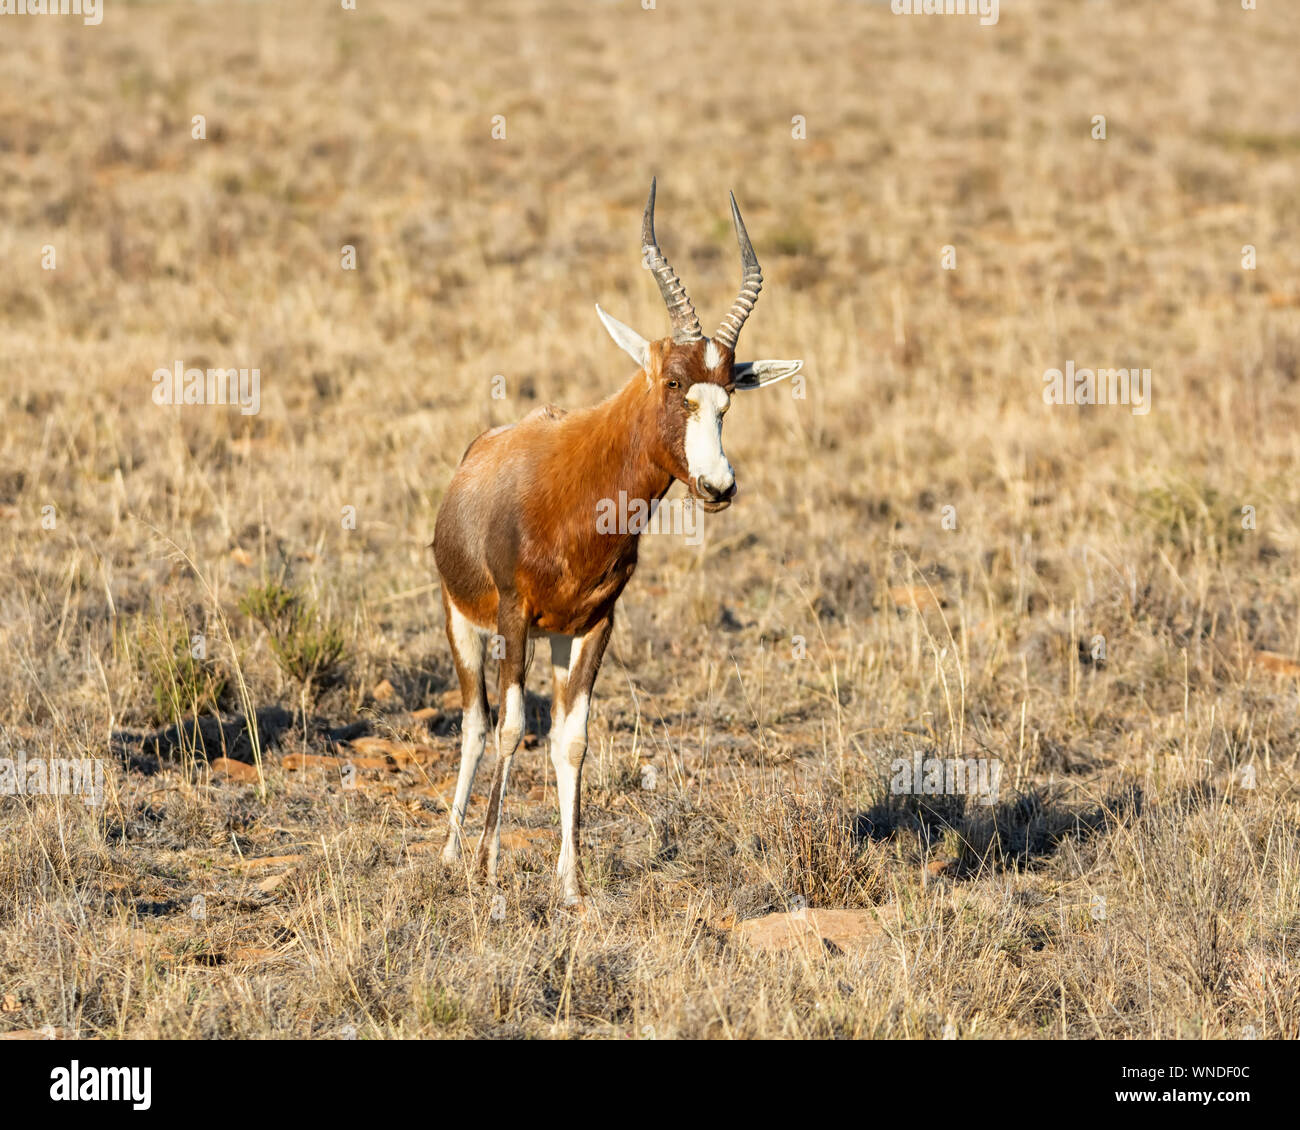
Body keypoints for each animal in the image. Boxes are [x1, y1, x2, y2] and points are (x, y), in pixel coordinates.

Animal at [433, 179, 803, 903]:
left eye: (728, 396)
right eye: (674, 383)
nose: (718, 485)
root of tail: (478, 449)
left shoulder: (597, 623)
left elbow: (572, 740)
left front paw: (572, 886)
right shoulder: (514, 615)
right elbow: (512, 727)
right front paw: (490, 872)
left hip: (554, 635)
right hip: (466, 621)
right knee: (476, 722)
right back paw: (452, 854)